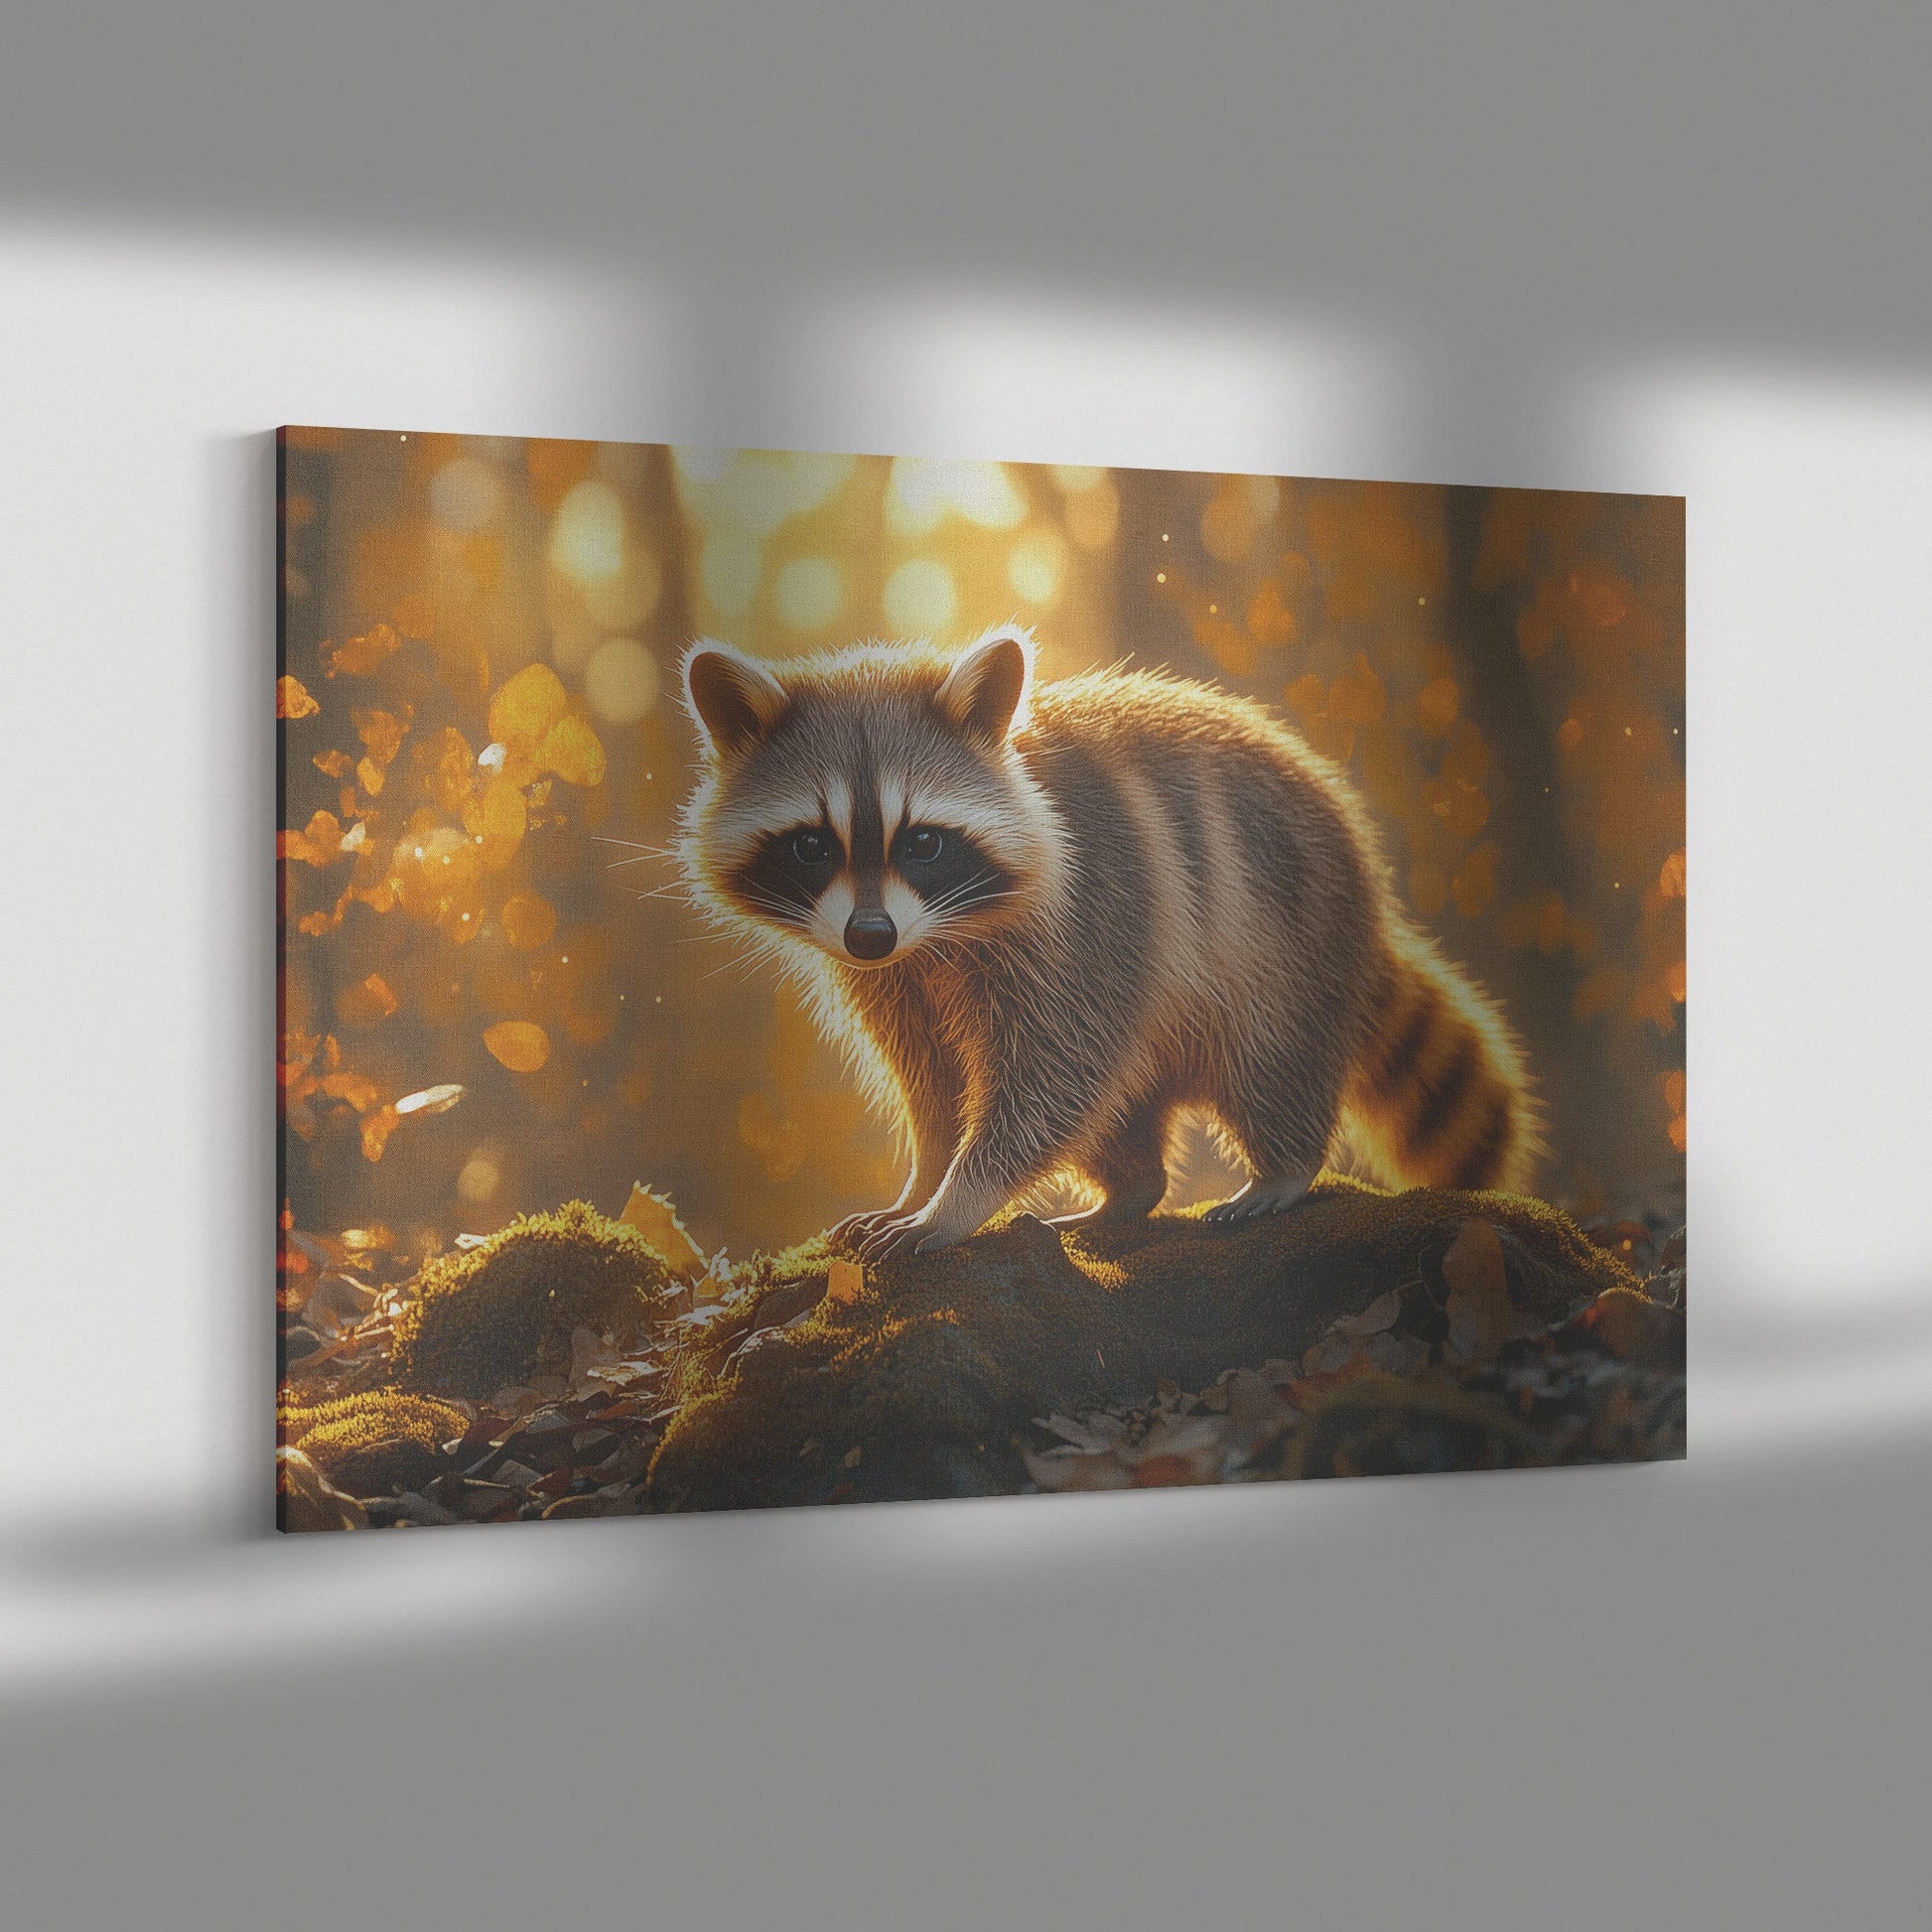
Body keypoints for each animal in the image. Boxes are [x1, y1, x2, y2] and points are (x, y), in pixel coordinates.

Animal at [677, 624, 1539, 1261]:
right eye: (811, 845)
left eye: (921, 841)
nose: (868, 934)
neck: (938, 934)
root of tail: (1372, 898)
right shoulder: (896, 976)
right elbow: (933, 1080)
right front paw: (925, 1176)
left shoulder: (1094, 910)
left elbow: (1052, 1073)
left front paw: (959, 1198)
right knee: (1120, 1106)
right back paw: (1129, 1190)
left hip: (1289, 935)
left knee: (1263, 1054)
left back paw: (1284, 1166)